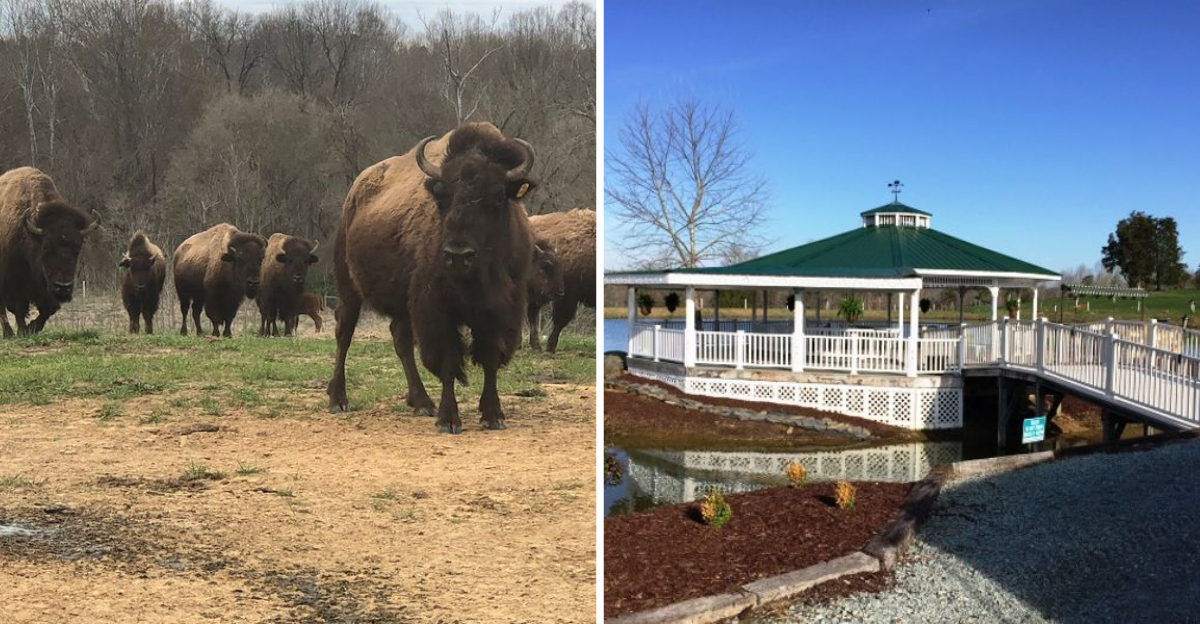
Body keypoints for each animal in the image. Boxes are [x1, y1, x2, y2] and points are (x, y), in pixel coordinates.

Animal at [0, 167, 99, 337]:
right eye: (45, 247)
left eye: (77, 248)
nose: (63, 287)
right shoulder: (15, 283)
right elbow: (19, 308)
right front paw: (23, 331)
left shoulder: (47, 291)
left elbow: (50, 308)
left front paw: (32, 328)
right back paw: (9, 333)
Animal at [327, 122, 537, 434]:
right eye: (442, 198)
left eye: (497, 198)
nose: (458, 254)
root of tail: (353, 194)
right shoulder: (436, 308)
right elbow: (448, 361)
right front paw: (448, 419)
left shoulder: (501, 309)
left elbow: (490, 357)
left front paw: (493, 415)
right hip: (348, 287)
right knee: (345, 334)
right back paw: (338, 399)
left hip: (401, 304)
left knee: (400, 341)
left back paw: (422, 402)